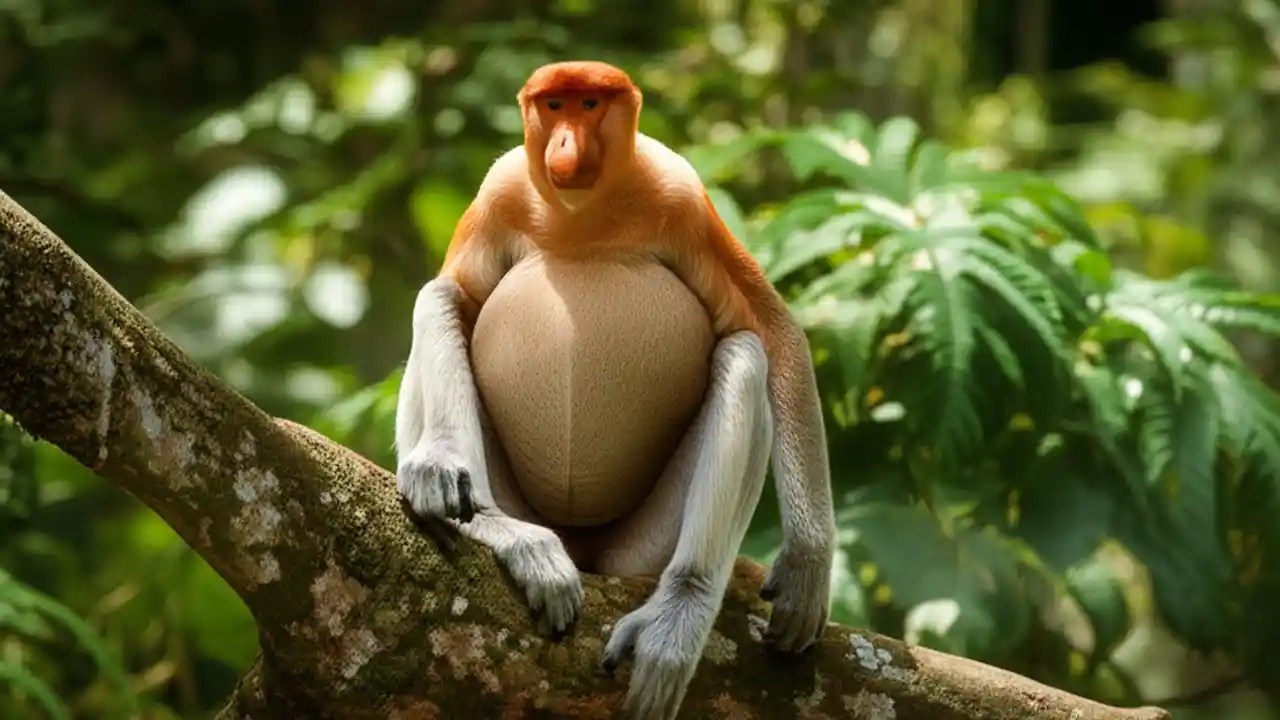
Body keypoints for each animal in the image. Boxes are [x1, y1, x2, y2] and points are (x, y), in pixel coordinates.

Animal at [394, 60, 835, 719]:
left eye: (590, 104)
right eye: (553, 105)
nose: (565, 145)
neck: (582, 220)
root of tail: (587, 550)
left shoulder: (683, 196)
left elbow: (773, 331)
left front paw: (808, 568)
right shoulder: (499, 192)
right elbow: (455, 296)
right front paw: (439, 468)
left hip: (641, 549)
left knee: (743, 354)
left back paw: (676, 618)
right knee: (439, 297)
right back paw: (500, 527)